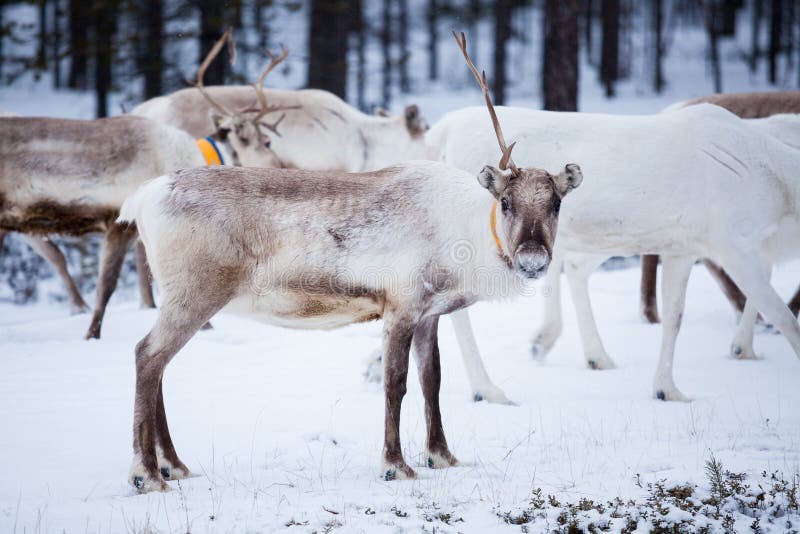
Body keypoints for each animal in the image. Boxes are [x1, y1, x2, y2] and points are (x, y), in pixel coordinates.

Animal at [116, 34, 583, 492]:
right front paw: (395, 464)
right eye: (506, 202)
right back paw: (147, 474)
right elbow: (396, 383)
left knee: (157, 362)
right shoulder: (401, 306)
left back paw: (174, 465)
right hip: (196, 291)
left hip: (180, 294)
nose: (533, 260)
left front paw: (442, 456)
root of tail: (142, 198)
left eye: (557, 203)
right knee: (147, 355)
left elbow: (432, 380)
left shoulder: (430, 312)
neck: (464, 232)